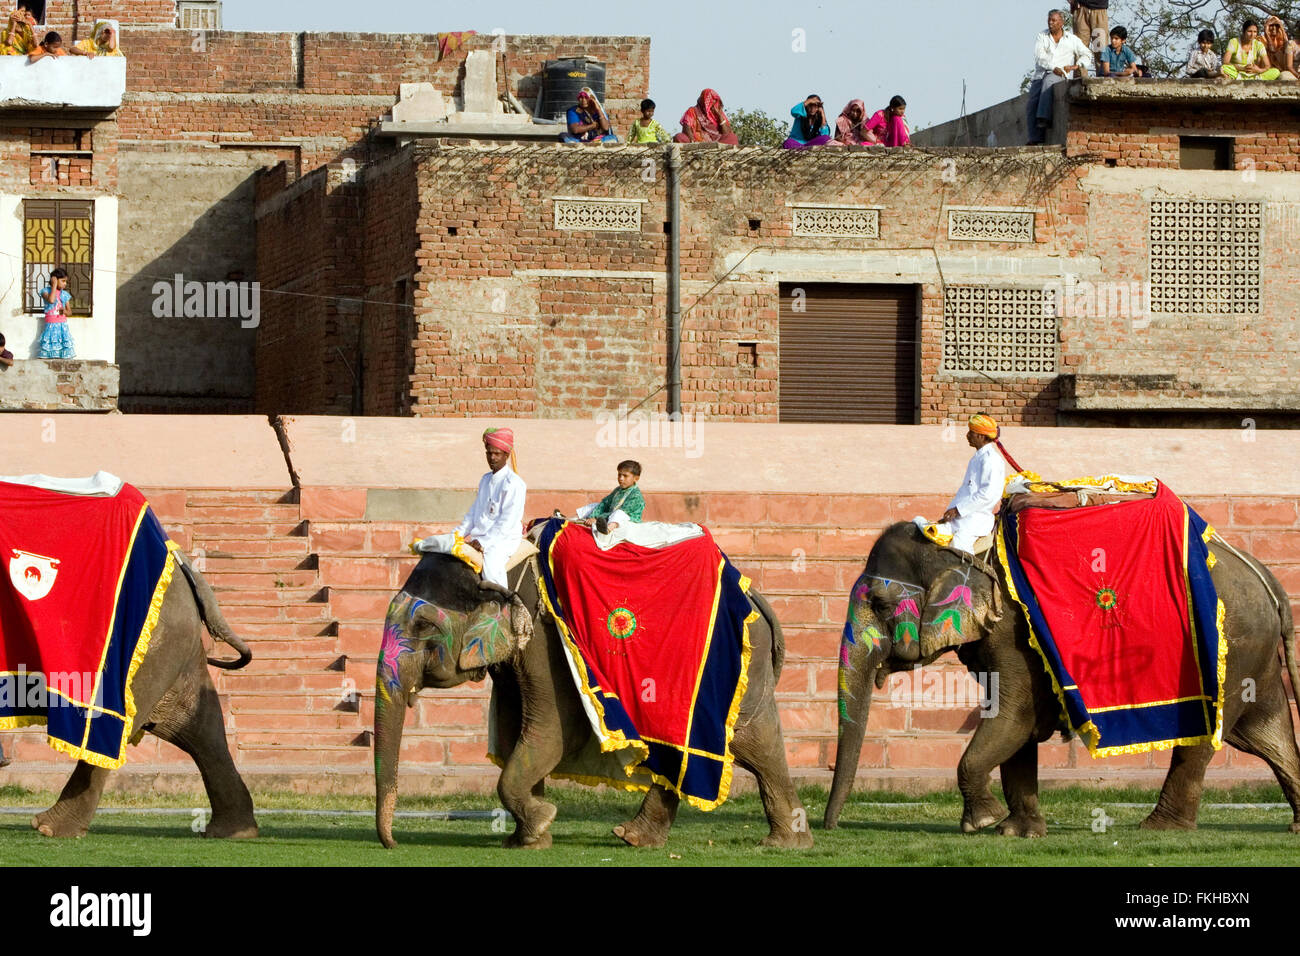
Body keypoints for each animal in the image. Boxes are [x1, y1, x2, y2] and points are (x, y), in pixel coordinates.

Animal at [374, 549, 814, 850]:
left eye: (423, 625)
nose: (393, 844)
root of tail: (755, 595)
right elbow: (519, 727)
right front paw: (528, 839)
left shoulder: (545, 635)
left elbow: (553, 730)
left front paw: (540, 823)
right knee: (739, 745)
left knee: (745, 744)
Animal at [824, 521, 1300, 836]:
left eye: (881, 604)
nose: (831, 830)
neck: (963, 548)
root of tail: (1266, 577)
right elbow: (1017, 729)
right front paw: (1019, 832)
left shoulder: (1012, 633)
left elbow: (1012, 718)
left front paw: (981, 822)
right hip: (1253, 660)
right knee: (1267, 735)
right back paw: (1295, 826)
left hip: (1228, 652)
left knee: (1204, 739)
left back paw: (1158, 828)